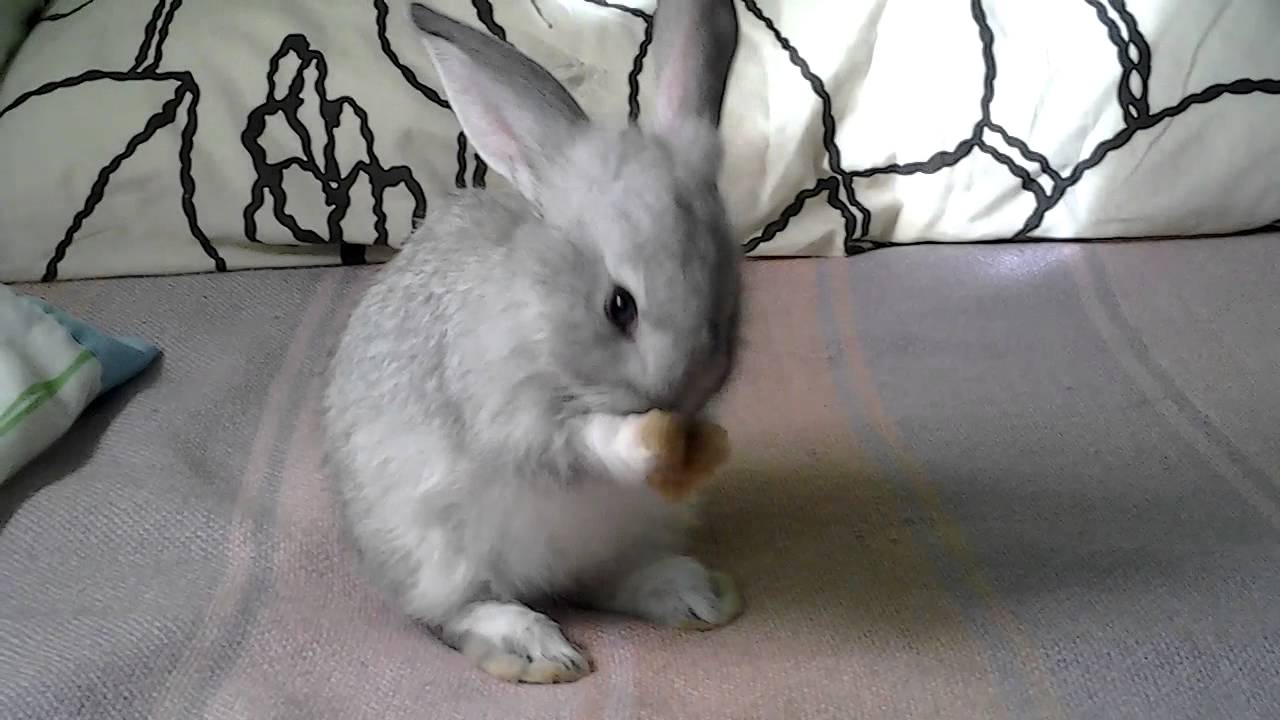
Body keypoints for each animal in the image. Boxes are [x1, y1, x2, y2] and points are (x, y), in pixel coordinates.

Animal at [321, 0, 741, 684]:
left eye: (729, 281)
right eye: (618, 306)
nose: (681, 393)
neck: (543, 311)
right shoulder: (511, 416)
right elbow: (577, 443)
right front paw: (641, 443)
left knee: (605, 581)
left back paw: (696, 597)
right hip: (434, 551)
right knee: (459, 610)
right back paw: (537, 650)